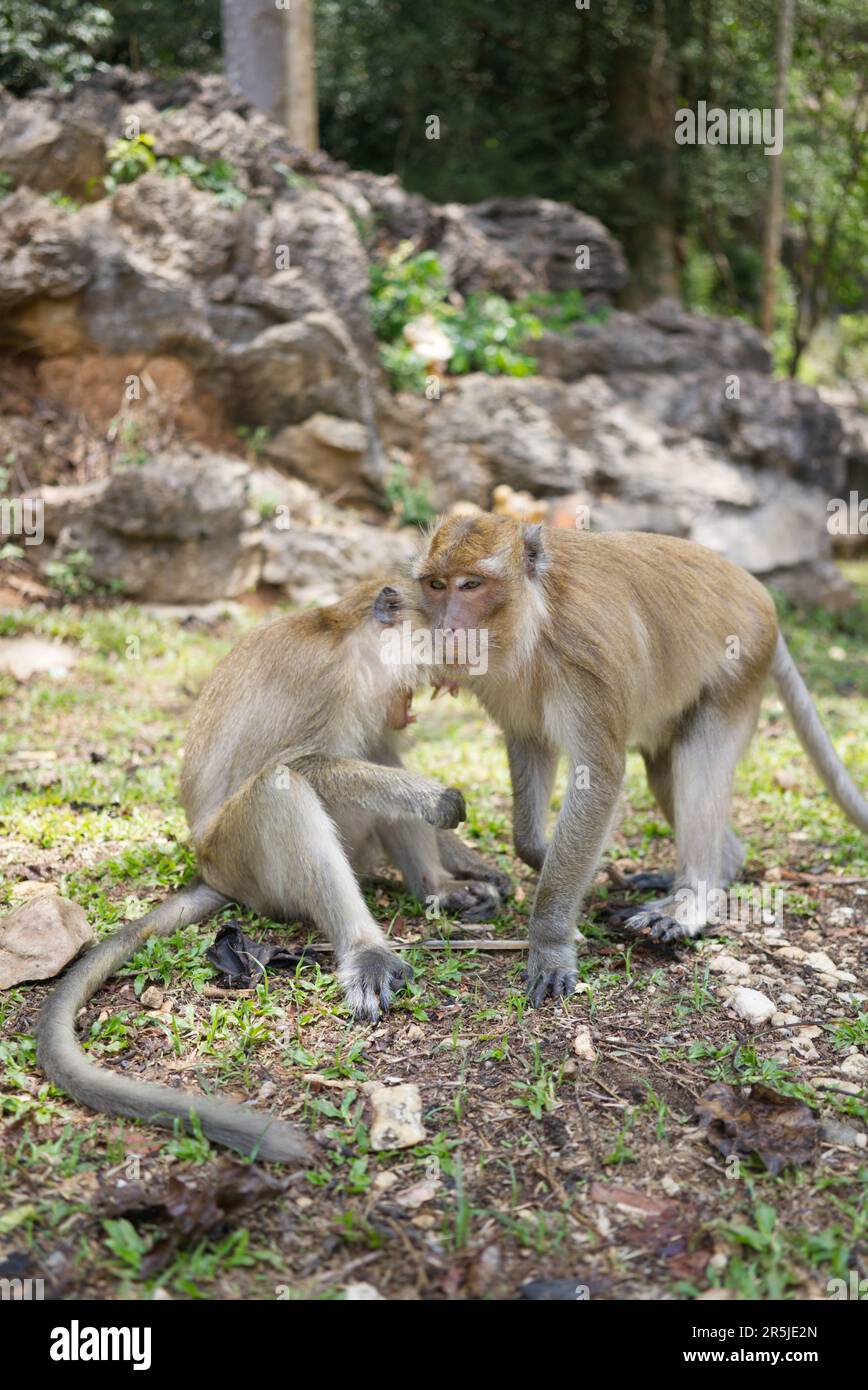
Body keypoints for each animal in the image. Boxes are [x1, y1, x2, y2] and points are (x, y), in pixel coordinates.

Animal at [37, 577, 509, 1163]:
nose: (410, 710)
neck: (348, 638)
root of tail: (211, 872)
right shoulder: (324, 683)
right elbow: (296, 764)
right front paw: (433, 798)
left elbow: (376, 750)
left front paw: (469, 862)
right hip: (246, 863)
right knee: (281, 787)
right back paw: (366, 951)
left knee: (373, 757)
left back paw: (437, 890)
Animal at [411, 513, 868, 1007]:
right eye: (437, 585)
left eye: (471, 584)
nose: (446, 628)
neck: (535, 618)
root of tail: (758, 593)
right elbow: (531, 749)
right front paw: (552, 860)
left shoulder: (586, 657)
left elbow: (600, 777)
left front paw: (550, 943)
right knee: (665, 773)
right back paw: (715, 867)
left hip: (741, 667)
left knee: (699, 762)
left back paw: (691, 902)